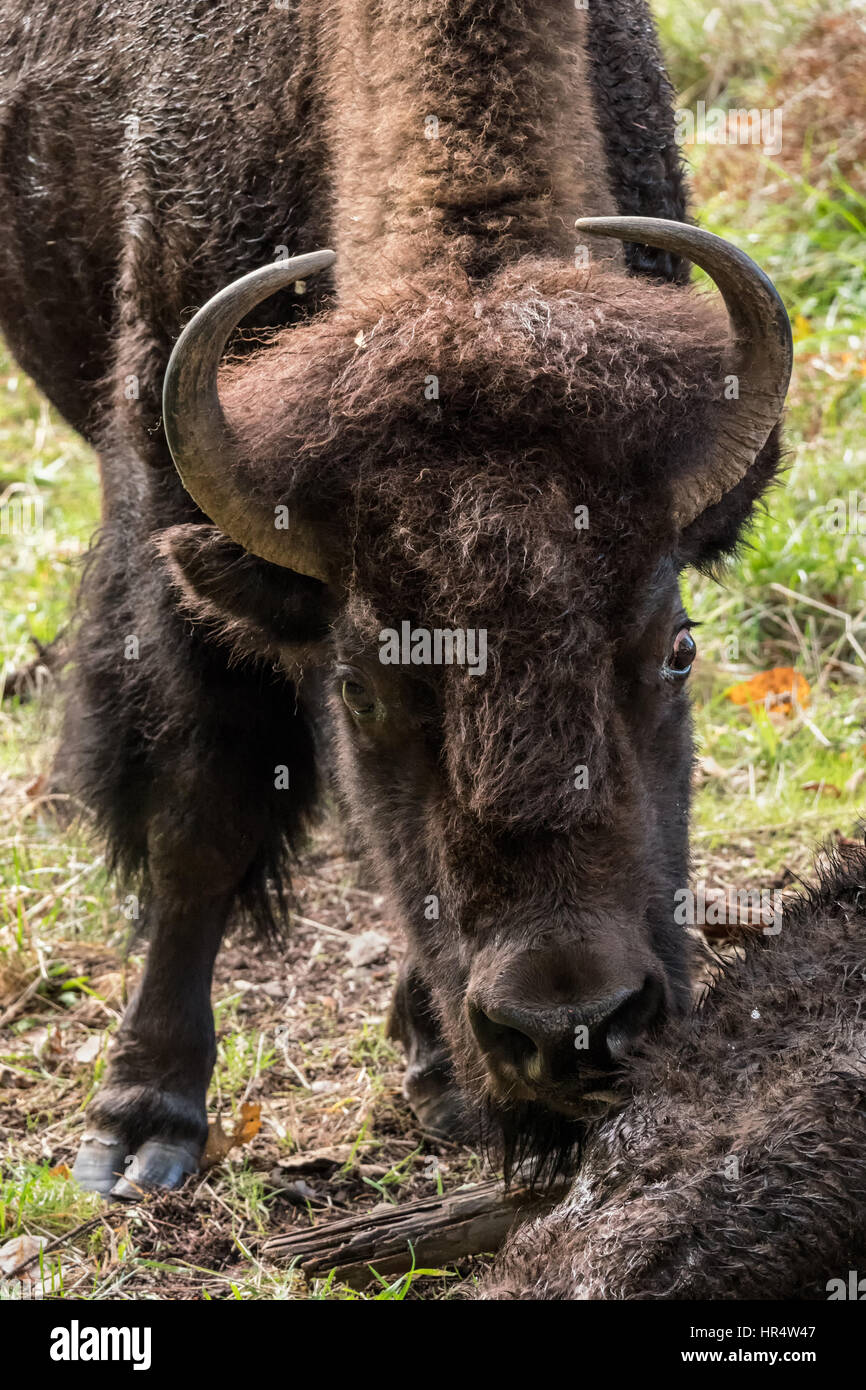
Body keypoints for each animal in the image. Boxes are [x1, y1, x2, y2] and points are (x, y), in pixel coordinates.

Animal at [0, 0, 791, 1196]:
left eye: (677, 650)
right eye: (360, 688)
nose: (566, 1029)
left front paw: (434, 1067)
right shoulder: (174, 547)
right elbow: (202, 820)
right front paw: (138, 1127)